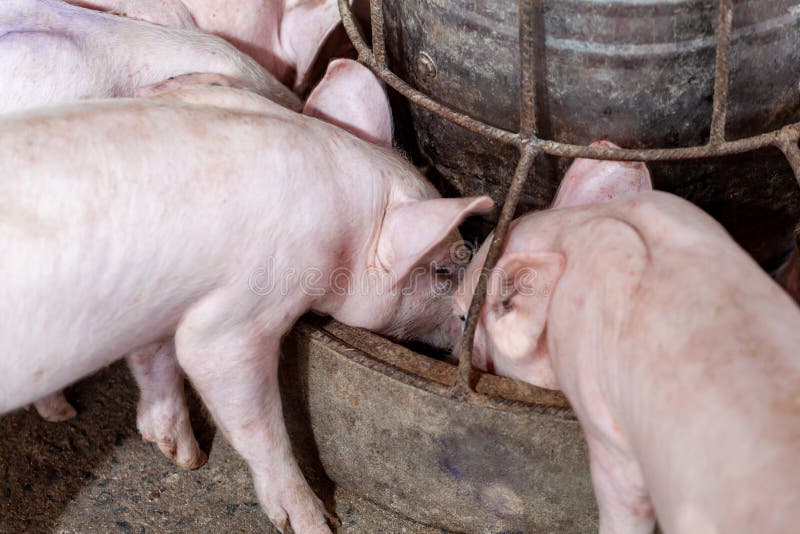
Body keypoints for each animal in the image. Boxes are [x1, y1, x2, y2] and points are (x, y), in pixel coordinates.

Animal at [0, 72, 492, 531]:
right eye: (442, 272)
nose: (464, 324)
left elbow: (154, 357)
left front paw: (183, 455)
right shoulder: (248, 306)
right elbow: (230, 388)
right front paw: (315, 523)